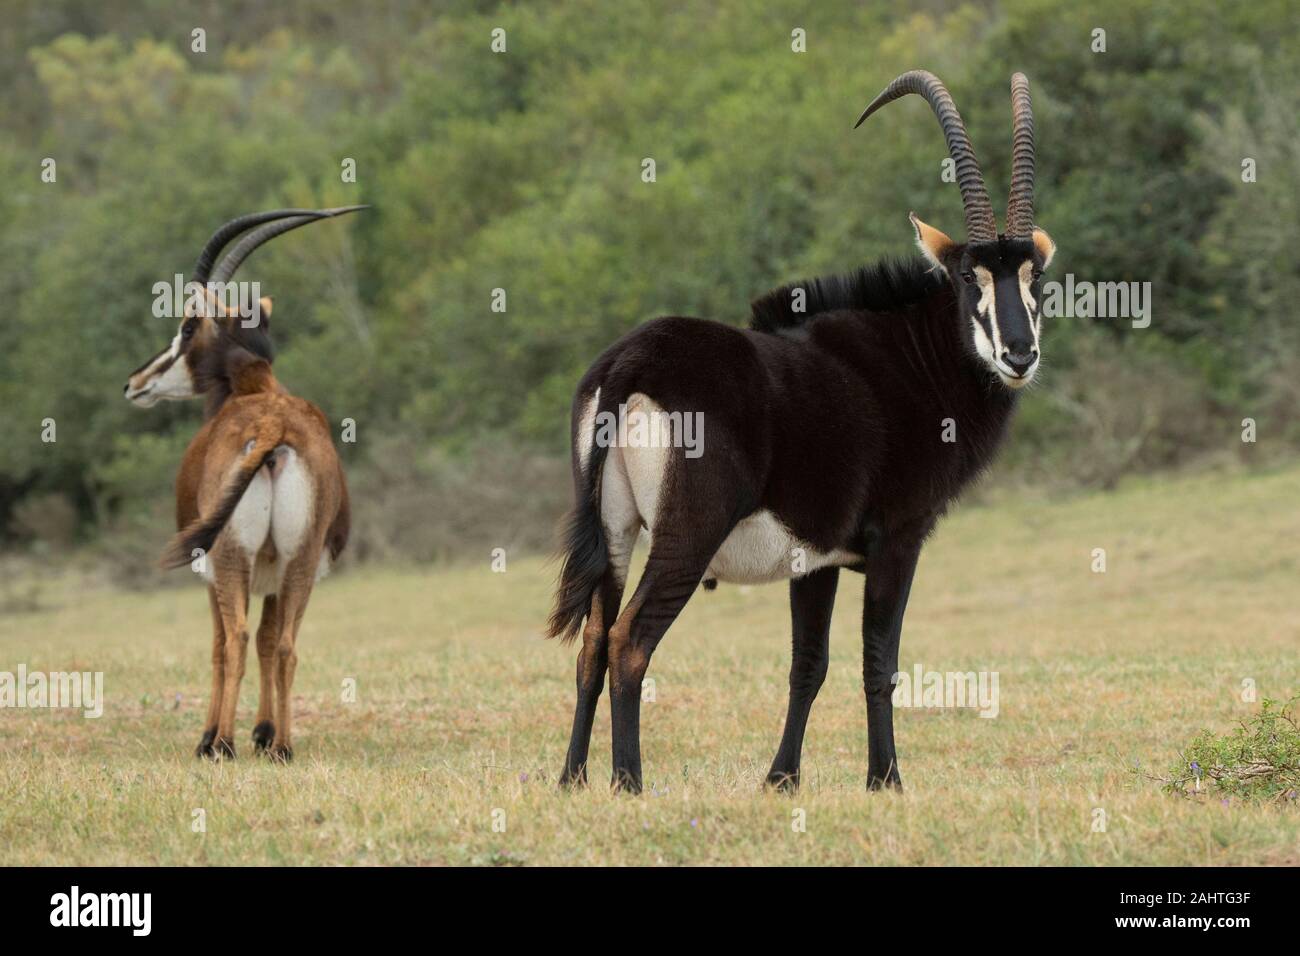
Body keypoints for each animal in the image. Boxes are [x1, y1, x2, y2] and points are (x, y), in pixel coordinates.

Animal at [124, 206, 365, 761]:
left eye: (187, 326)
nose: (135, 383)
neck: (253, 387)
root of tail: (273, 428)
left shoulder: (210, 570)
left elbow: (220, 644)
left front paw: (213, 735)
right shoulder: (274, 571)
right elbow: (268, 639)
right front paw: (264, 731)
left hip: (233, 556)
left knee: (233, 637)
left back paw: (222, 744)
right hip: (300, 560)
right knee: (285, 644)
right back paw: (283, 747)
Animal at [547, 71, 1056, 793]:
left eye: (1035, 274)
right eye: (968, 275)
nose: (1018, 354)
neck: (911, 356)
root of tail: (629, 364)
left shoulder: (816, 558)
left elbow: (807, 665)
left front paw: (781, 780)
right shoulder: (898, 539)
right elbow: (880, 661)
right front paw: (886, 781)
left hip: (614, 530)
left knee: (592, 642)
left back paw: (573, 780)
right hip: (686, 536)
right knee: (629, 640)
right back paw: (629, 784)